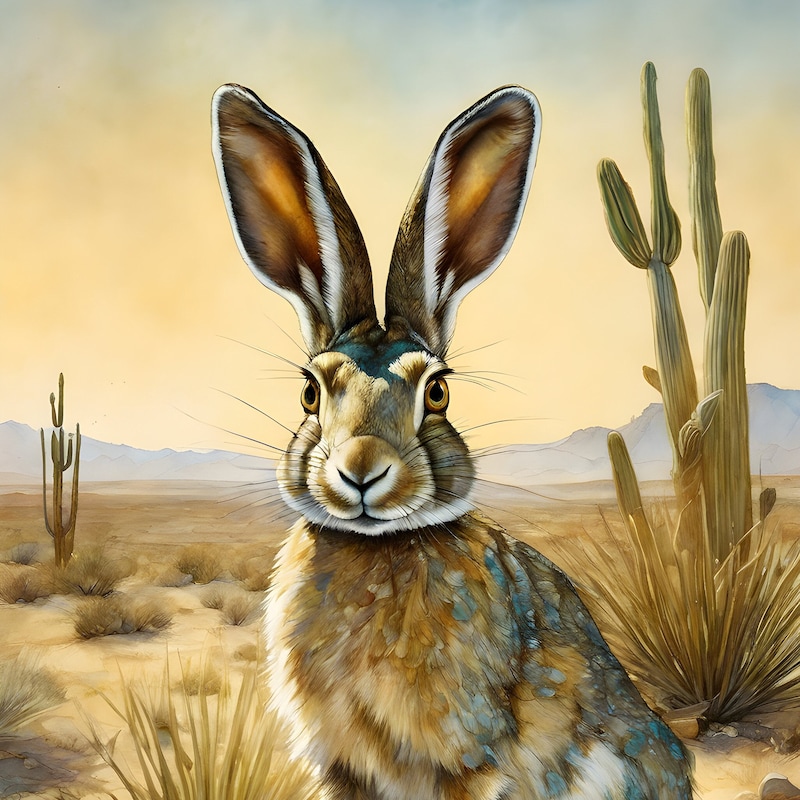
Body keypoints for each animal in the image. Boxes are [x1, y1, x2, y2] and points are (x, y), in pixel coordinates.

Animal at [212, 83, 693, 800]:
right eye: (310, 392)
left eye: (436, 392)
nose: (361, 469)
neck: (378, 547)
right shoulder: (342, 767)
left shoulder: (470, 758)